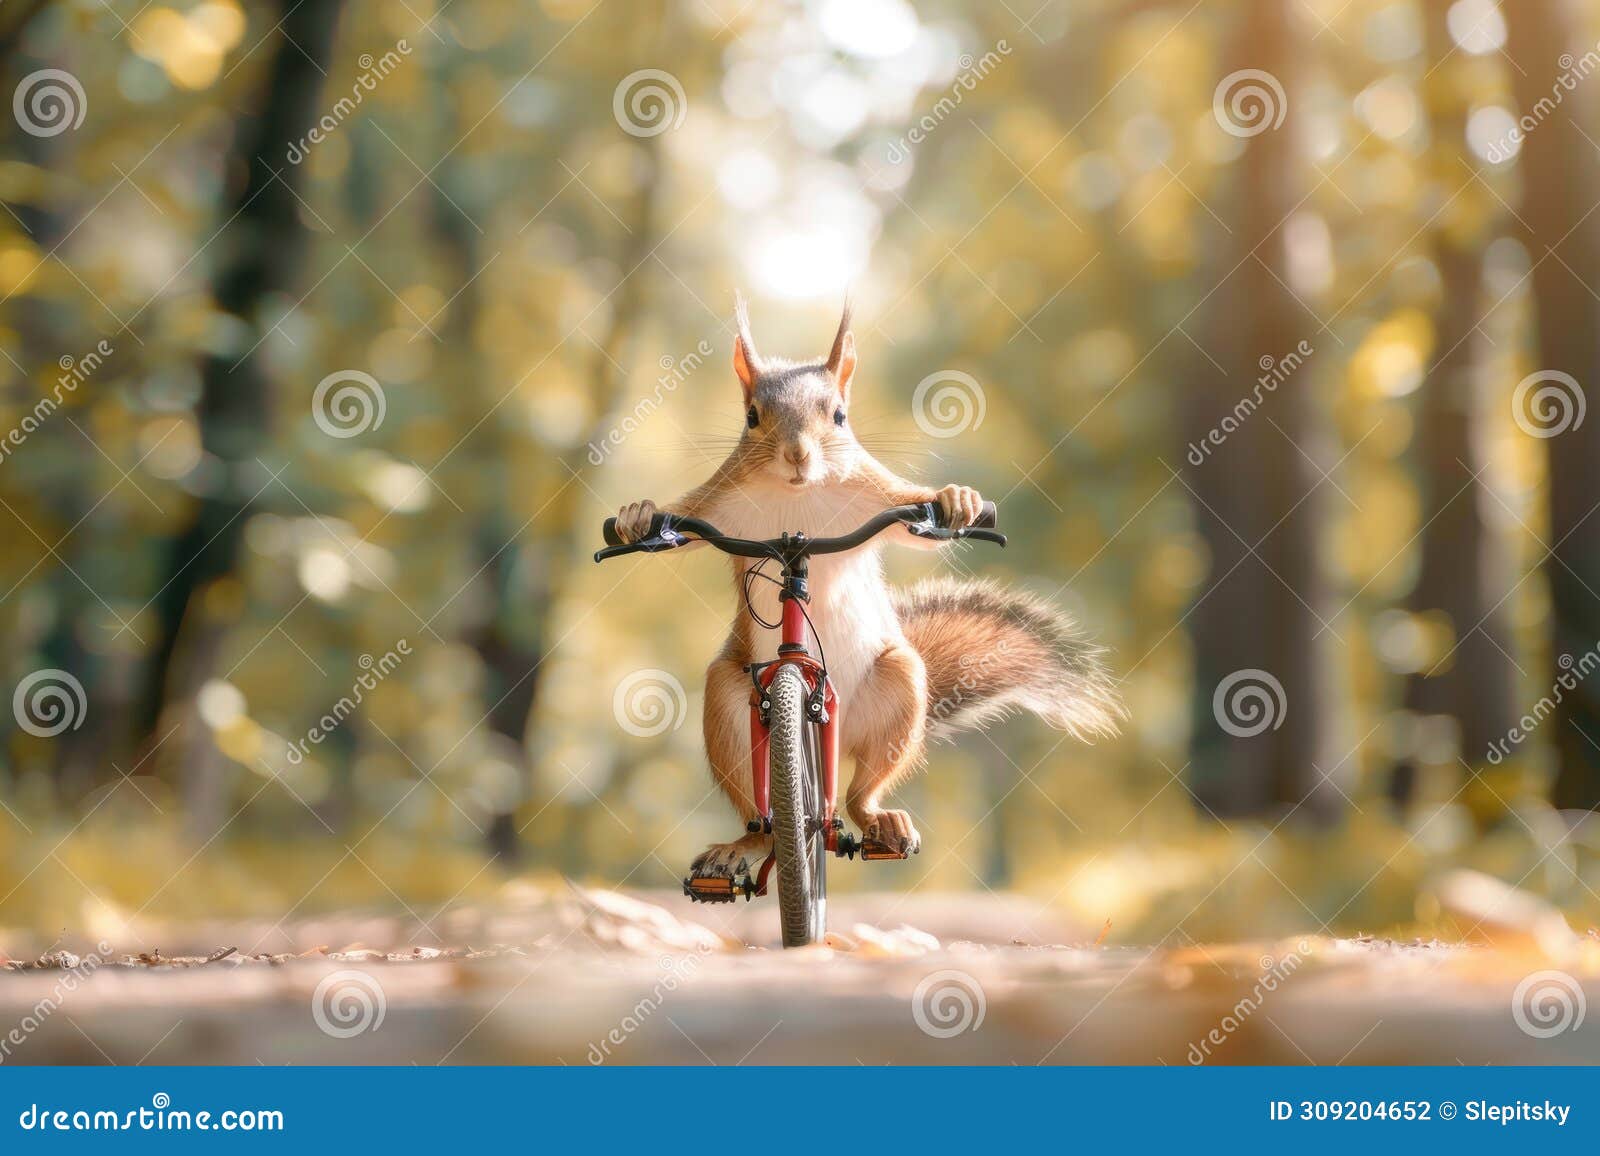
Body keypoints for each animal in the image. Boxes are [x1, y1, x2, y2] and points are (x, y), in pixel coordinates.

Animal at [613, 298, 1124, 881]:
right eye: (751, 417)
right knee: (760, 812)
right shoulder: (719, 504)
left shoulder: (876, 494)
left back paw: (882, 820)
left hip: (896, 688)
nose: (797, 454)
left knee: (862, 791)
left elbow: (917, 523)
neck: (799, 501)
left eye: (839, 416)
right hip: (729, 694)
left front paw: (958, 501)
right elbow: (681, 526)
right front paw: (637, 518)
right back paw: (742, 846)